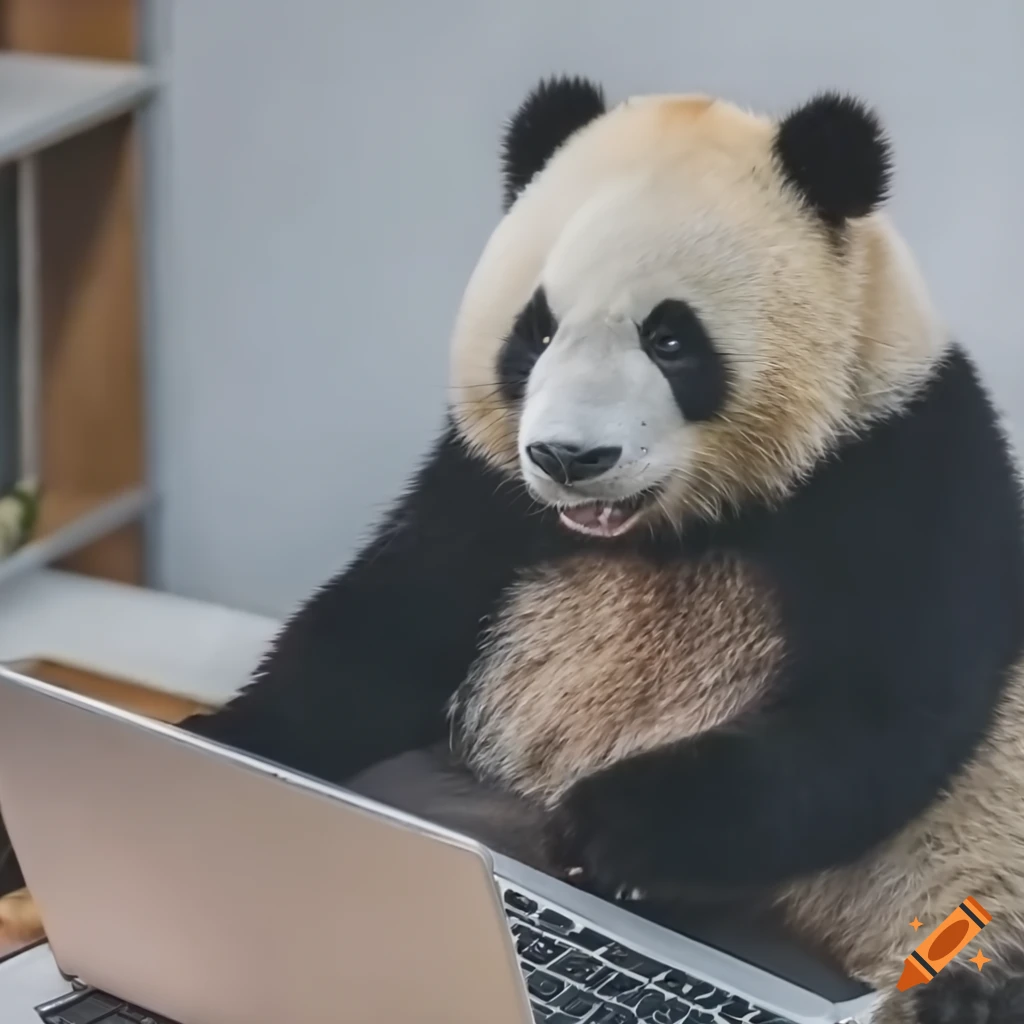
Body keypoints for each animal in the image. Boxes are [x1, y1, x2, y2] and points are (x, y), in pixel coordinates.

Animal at [187, 77, 1024, 1023]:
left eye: (671, 339)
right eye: (537, 331)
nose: (569, 458)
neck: (677, 528)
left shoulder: (902, 467)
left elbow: (880, 713)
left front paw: (606, 827)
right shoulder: (485, 486)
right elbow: (391, 625)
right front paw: (221, 744)